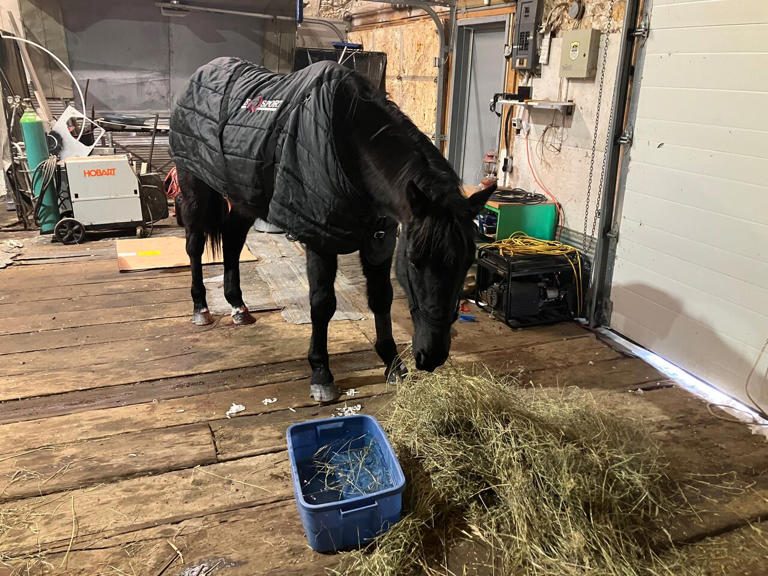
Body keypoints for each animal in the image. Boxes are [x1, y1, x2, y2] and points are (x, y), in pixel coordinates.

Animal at [169, 57, 495, 402]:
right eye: (415, 262)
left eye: (467, 263)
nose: (431, 356)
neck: (352, 146)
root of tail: (200, 73)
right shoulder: (319, 239)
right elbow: (323, 305)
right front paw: (321, 373)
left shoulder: (379, 241)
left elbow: (381, 298)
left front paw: (392, 363)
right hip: (195, 186)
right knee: (194, 245)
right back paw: (201, 307)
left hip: (246, 195)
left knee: (232, 240)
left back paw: (238, 307)